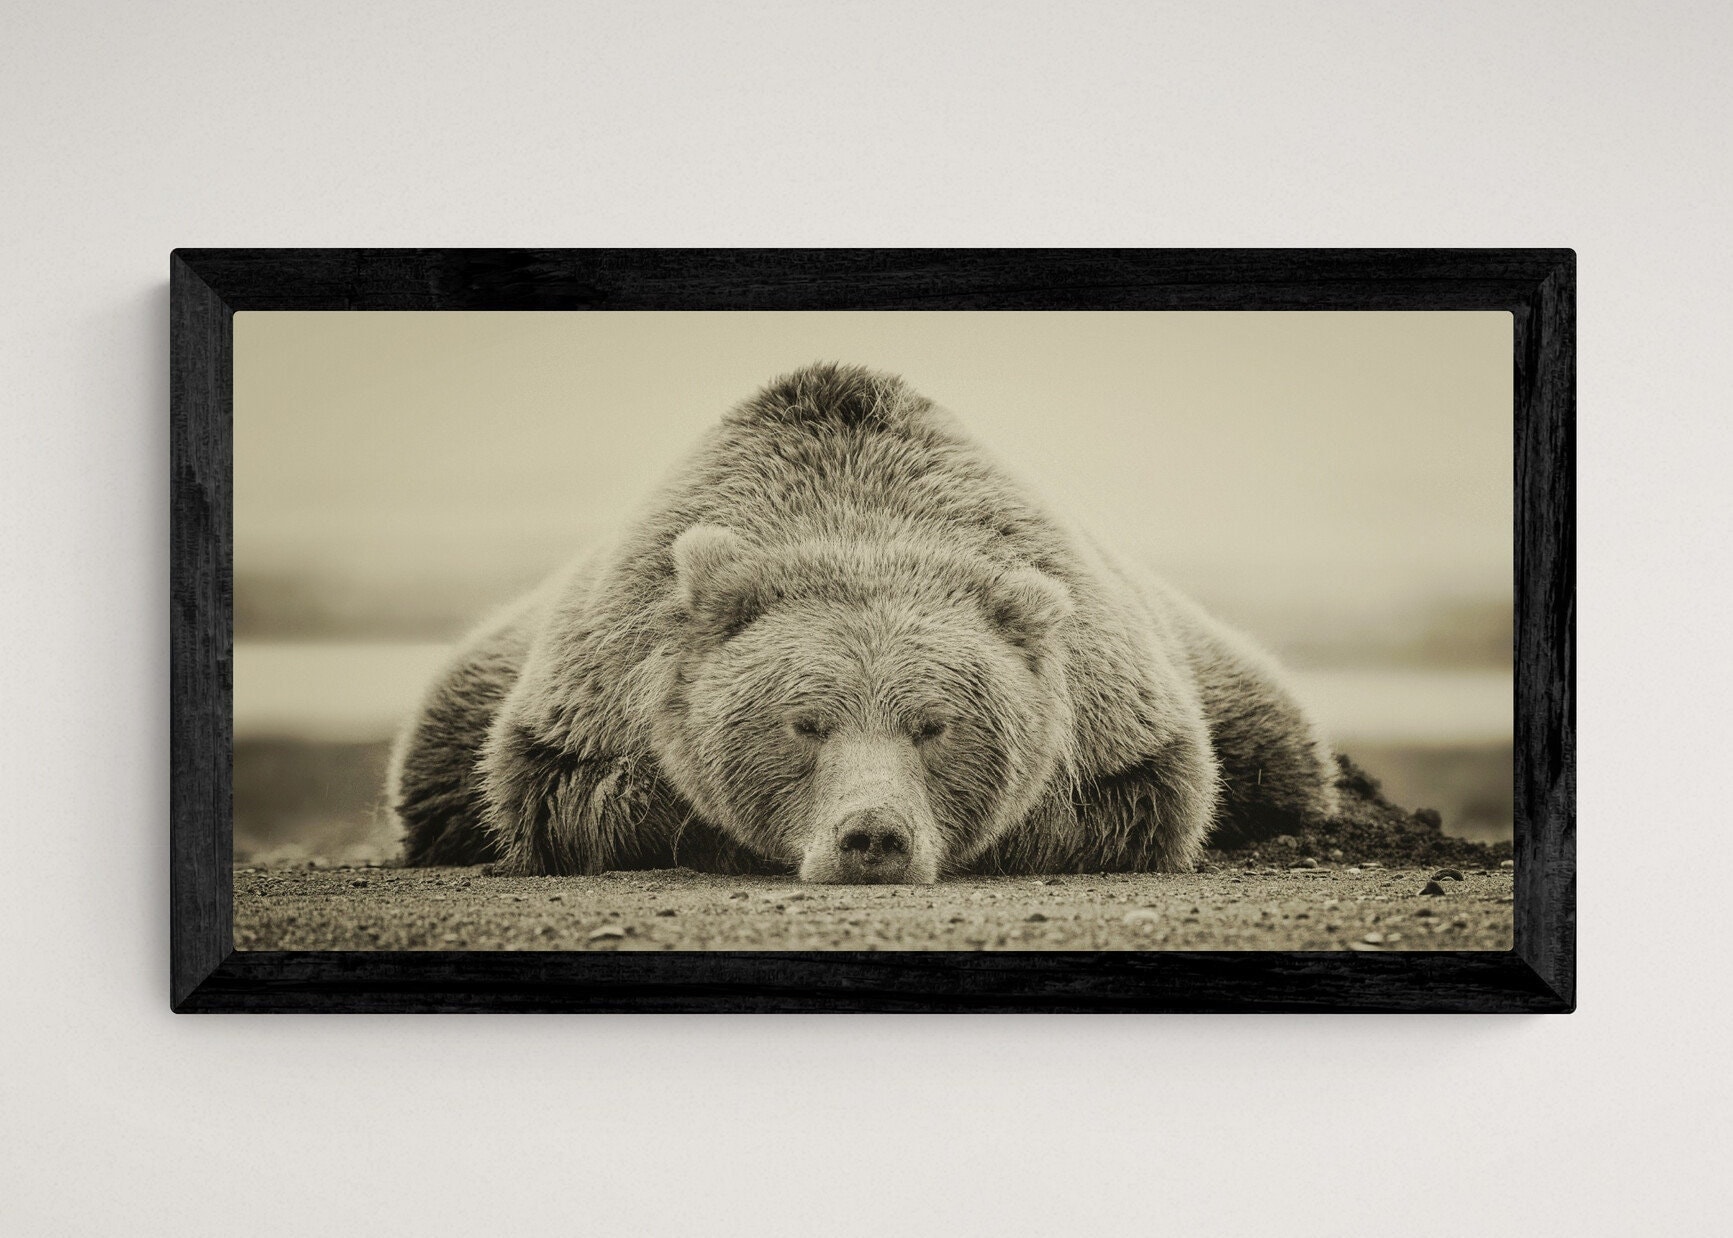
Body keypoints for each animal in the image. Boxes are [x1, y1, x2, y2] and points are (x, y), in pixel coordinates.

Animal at [388, 362, 1340, 882]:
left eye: (935, 725)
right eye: (804, 722)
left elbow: (1141, 799)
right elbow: (566, 795)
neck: (858, 517)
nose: (871, 836)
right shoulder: (594, 695)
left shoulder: (1119, 714)